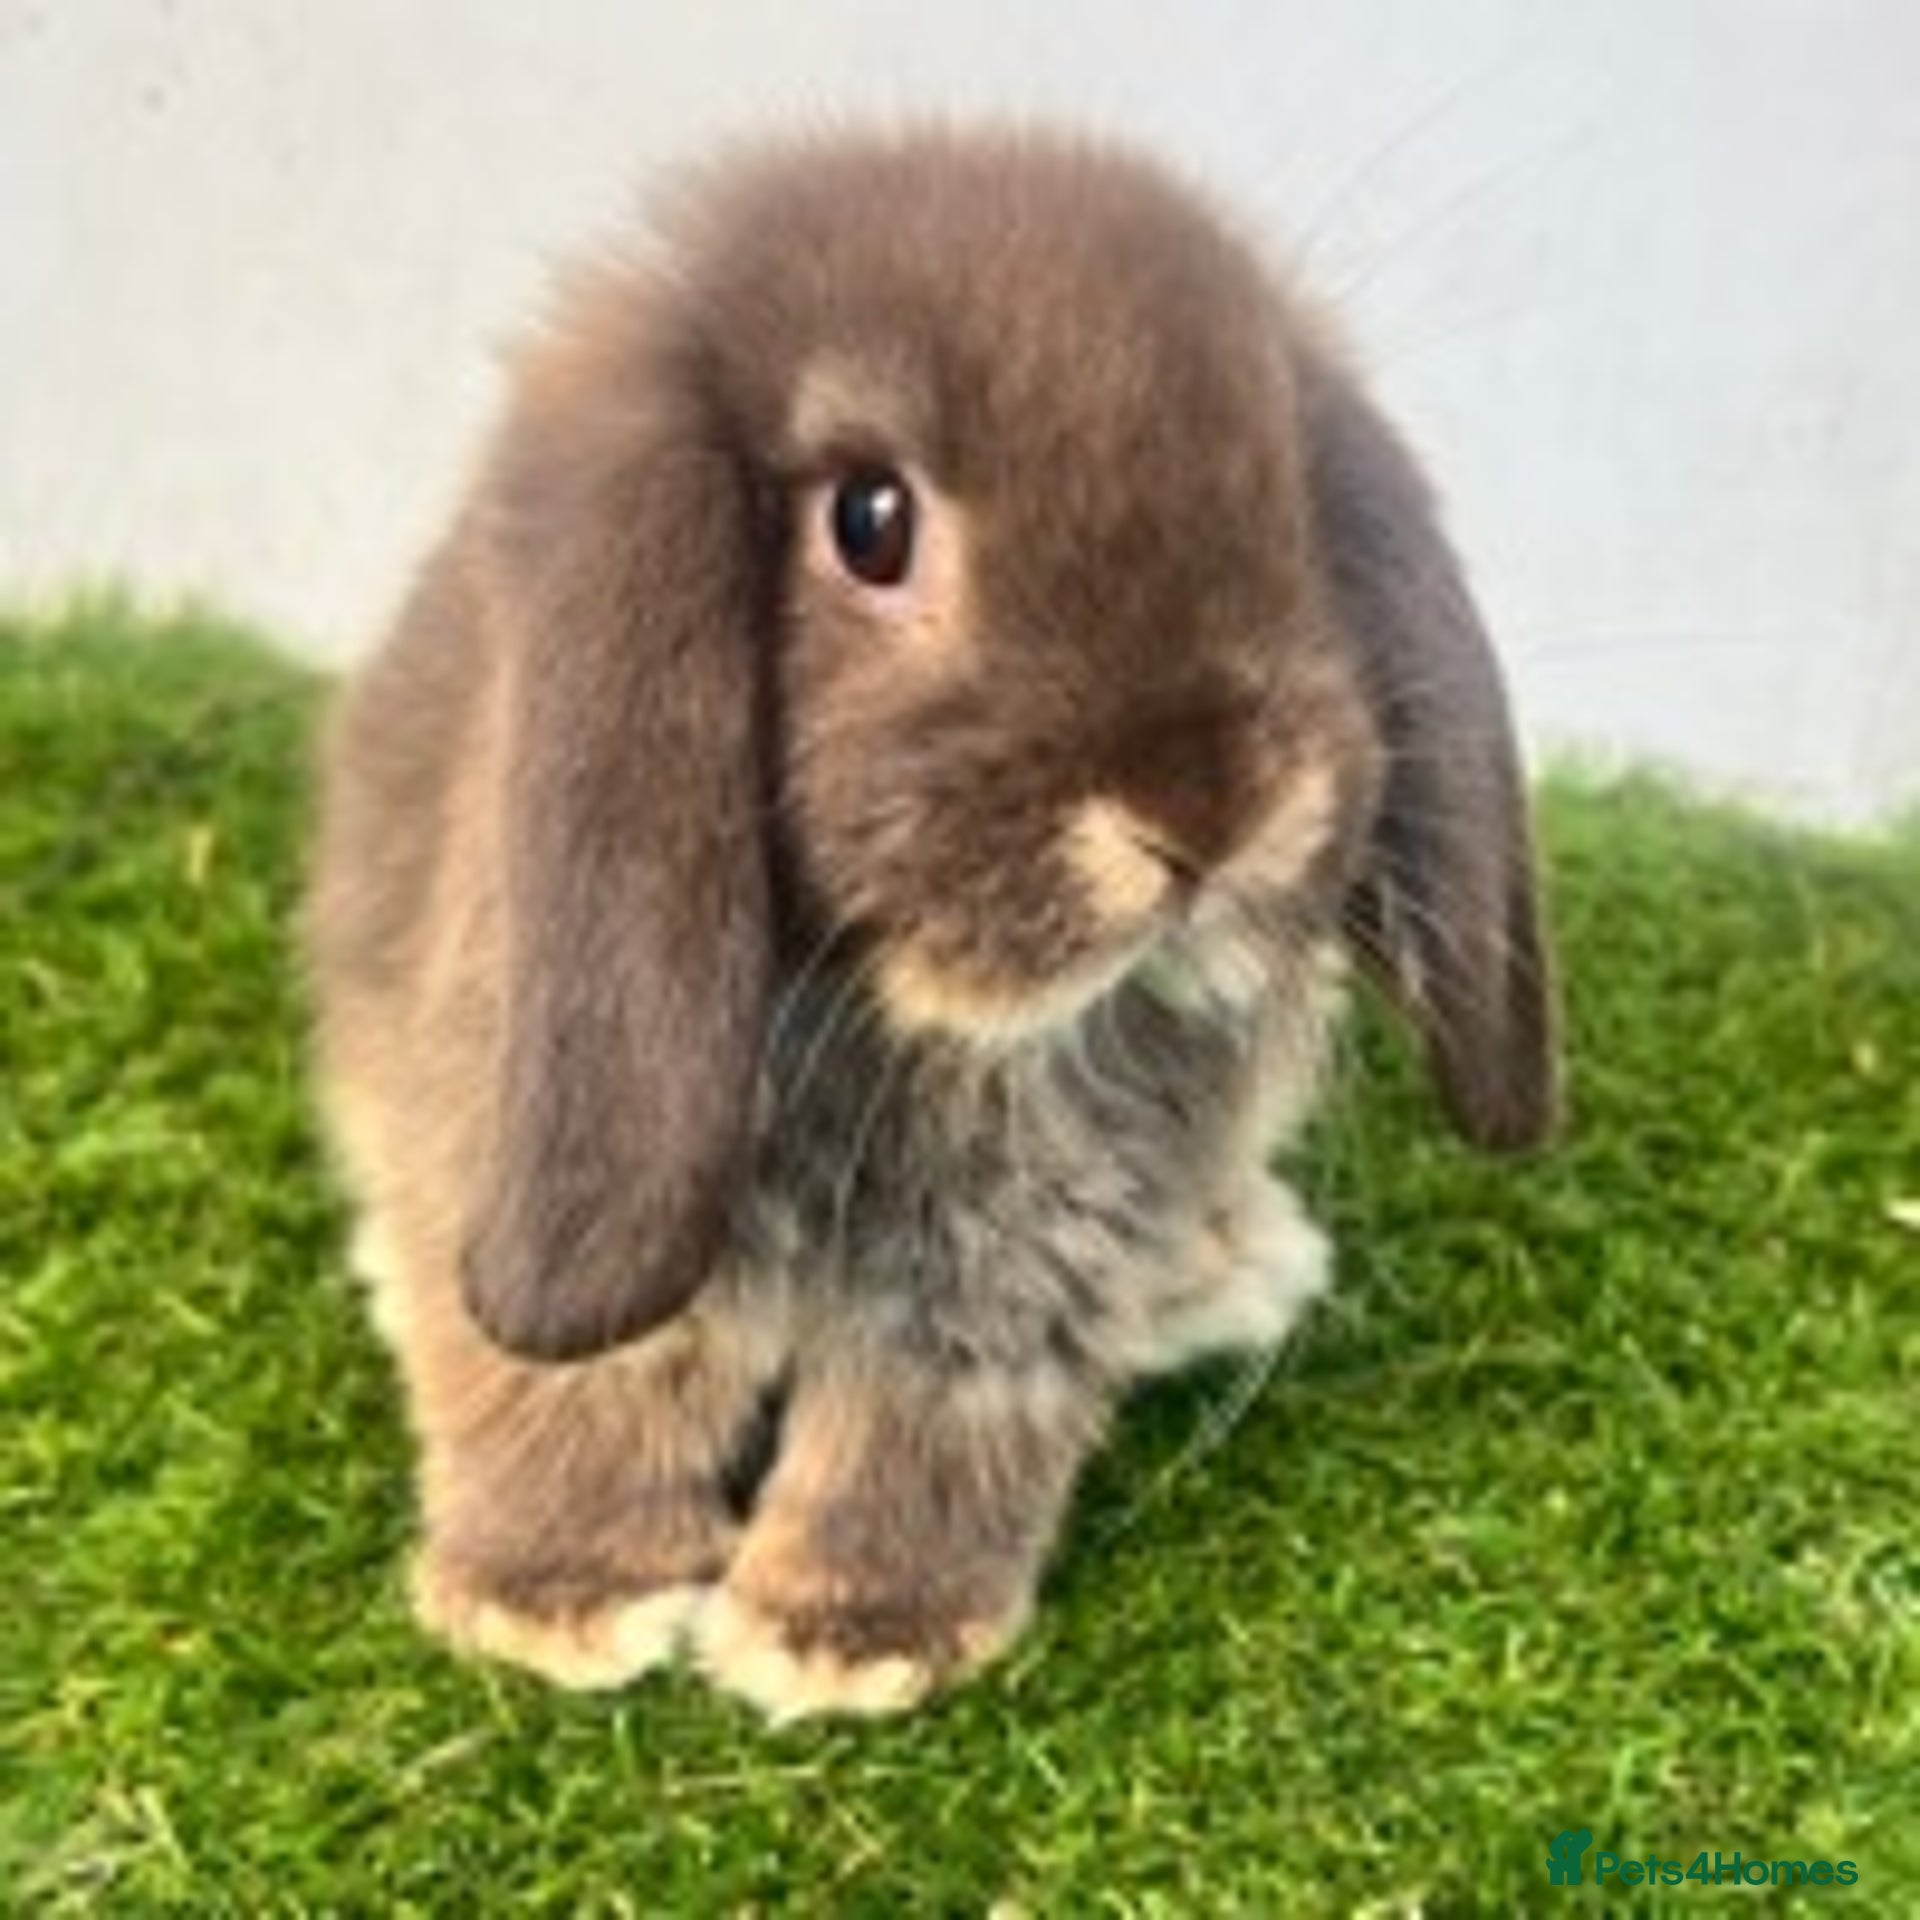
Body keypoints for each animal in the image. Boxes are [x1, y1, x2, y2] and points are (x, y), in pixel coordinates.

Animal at [304, 124, 1556, 1720]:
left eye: (1284, 499)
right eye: (870, 520)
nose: (1208, 811)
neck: (897, 1015)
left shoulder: (1010, 1273)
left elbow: (931, 1429)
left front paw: (849, 1637)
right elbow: (577, 1389)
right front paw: (553, 1602)